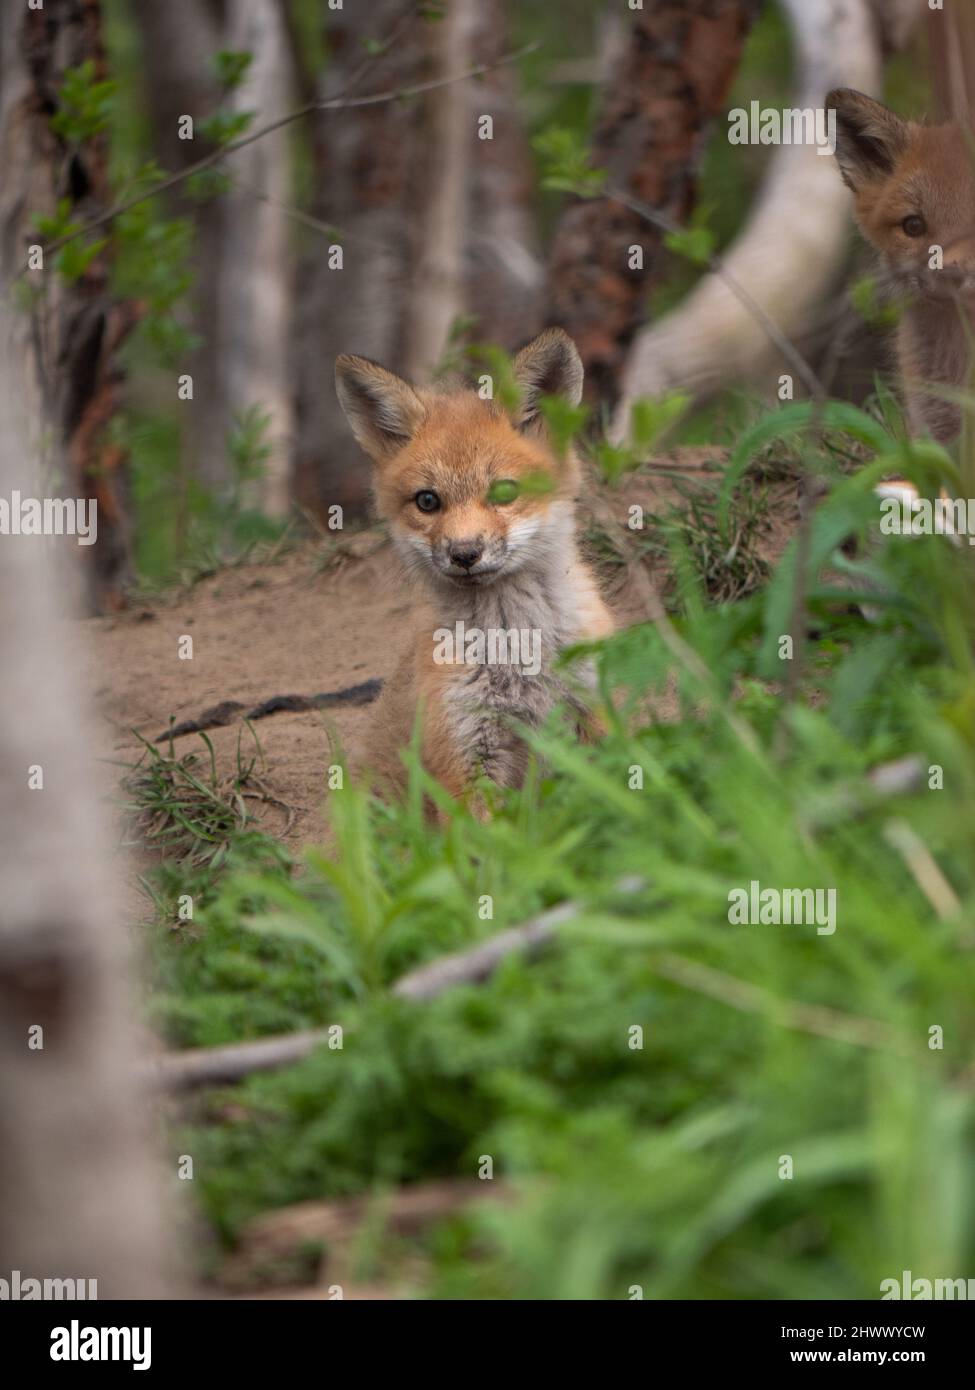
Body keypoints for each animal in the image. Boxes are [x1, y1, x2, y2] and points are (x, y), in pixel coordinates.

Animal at [334, 328, 615, 810]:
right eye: (428, 501)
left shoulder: (594, 714)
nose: (464, 553)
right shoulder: (465, 757)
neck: (517, 649)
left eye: (503, 491)